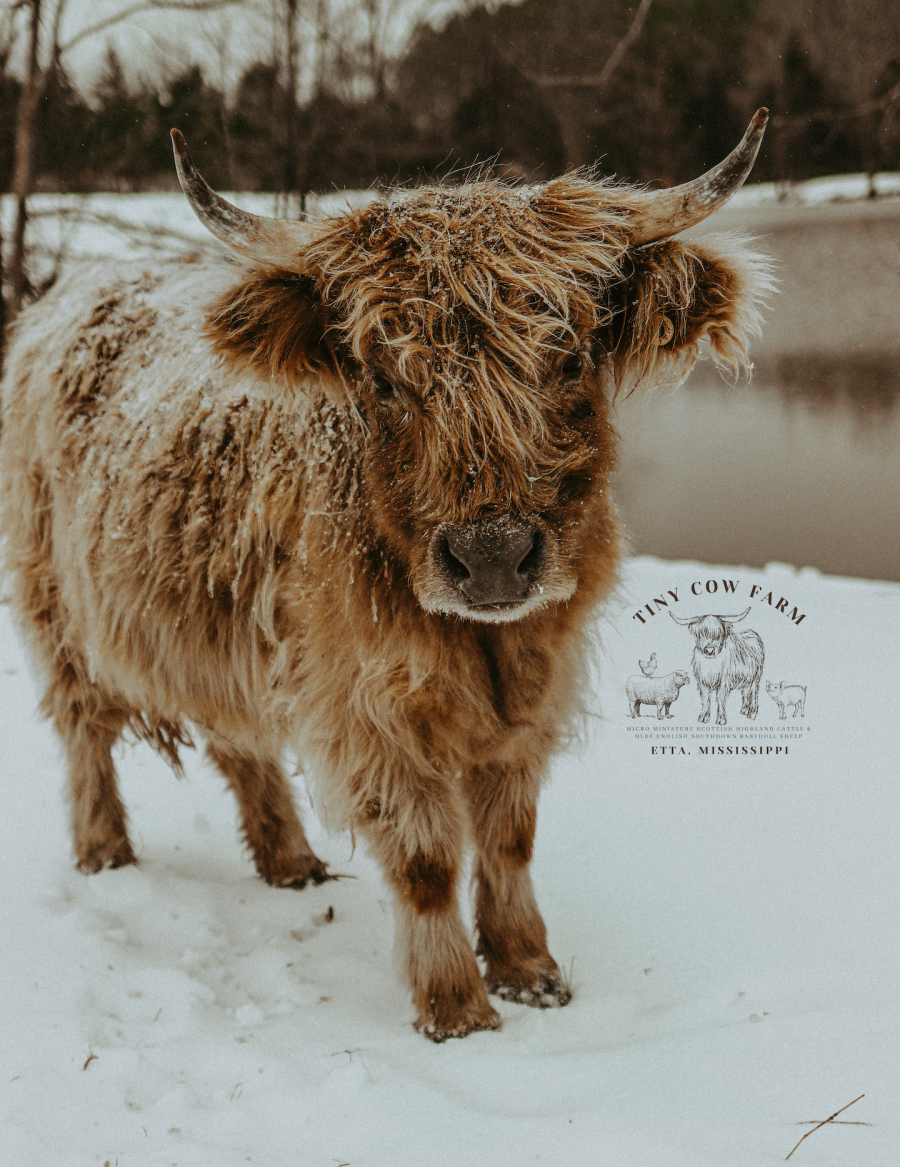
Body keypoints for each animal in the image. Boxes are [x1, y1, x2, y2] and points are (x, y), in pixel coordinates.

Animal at [0, 112, 771, 1041]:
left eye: (570, 354)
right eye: (382, 376)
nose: (491, 555)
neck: (484, 645)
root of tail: (72, 290)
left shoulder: (535, 691)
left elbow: (510, 835)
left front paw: (531, 970)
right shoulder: (368, 701)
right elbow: (427, 855)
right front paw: (457, 1009)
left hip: (219, 619)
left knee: (236, 733)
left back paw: (290, 860)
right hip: (53, 601)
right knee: (84, 728)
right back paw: (105, 853)